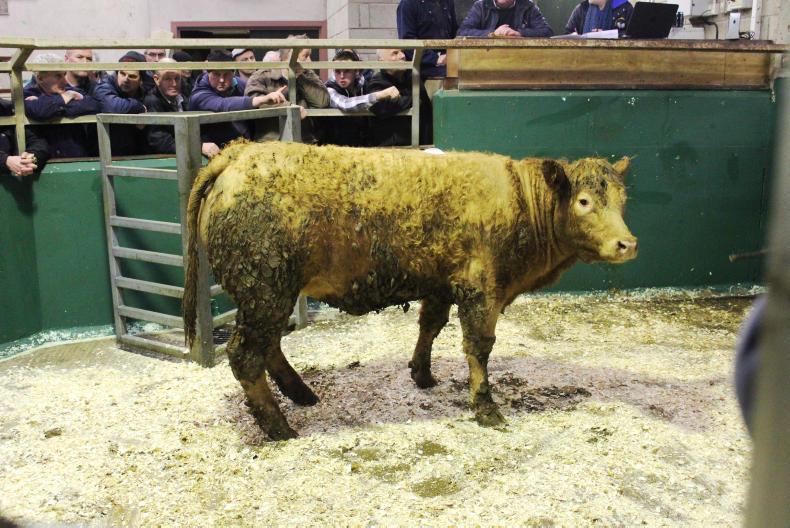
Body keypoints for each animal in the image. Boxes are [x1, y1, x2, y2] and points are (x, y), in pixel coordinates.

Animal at [183, 140, 638, 440]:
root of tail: (238, 154)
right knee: (245, 354)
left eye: (622, 200)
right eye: (583, 201)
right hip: (264, 289)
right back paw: (279, 426)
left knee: (269, 346)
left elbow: (430, 326)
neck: (522, 204)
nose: (627, 244)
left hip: (270, 292)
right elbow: (479, 347)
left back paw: (301, 394)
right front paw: (486, 408)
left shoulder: (441, 282)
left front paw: (422, 374)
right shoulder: (482, 288)